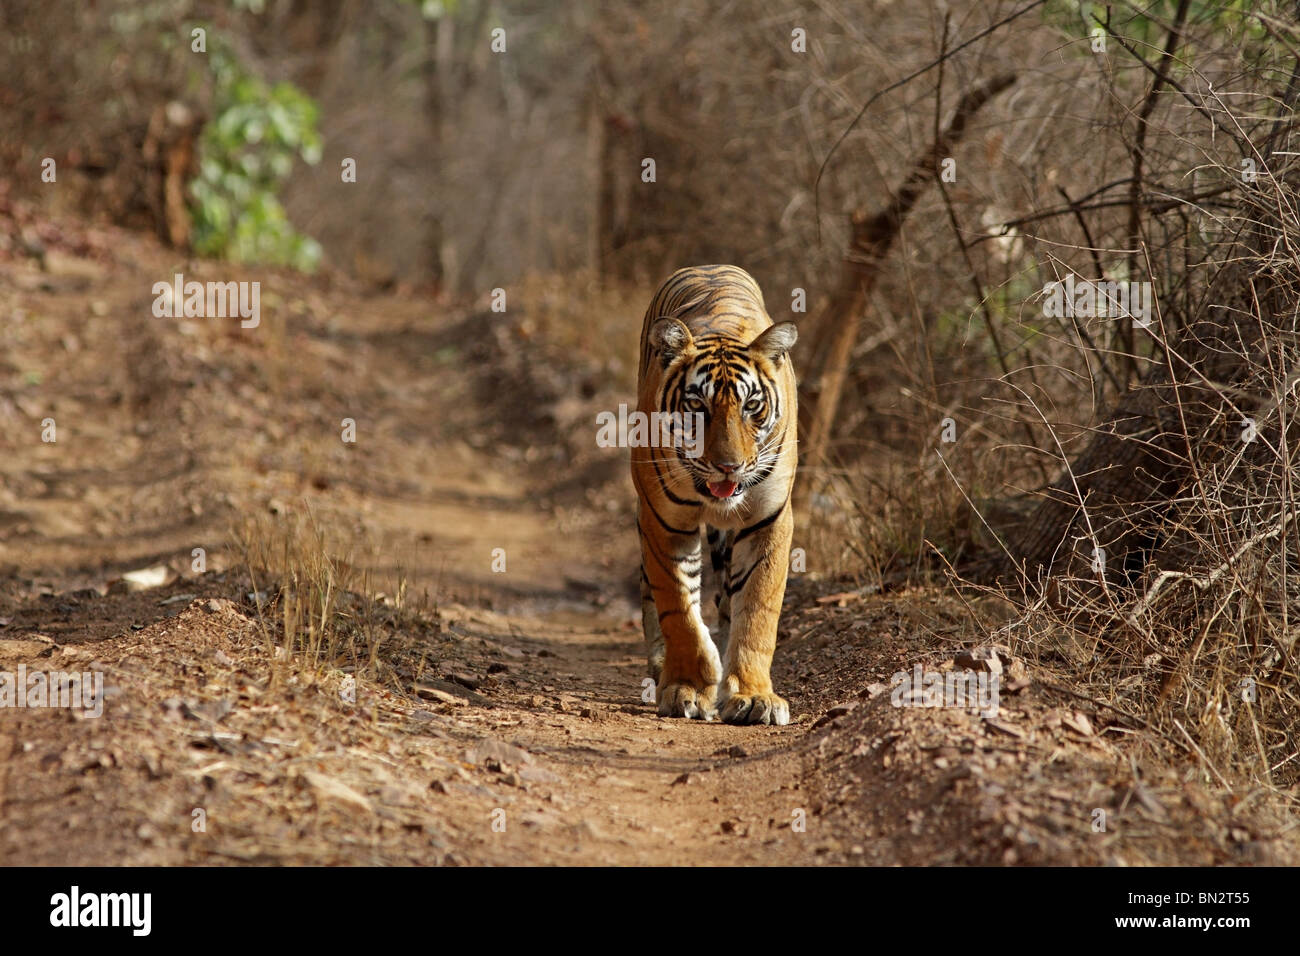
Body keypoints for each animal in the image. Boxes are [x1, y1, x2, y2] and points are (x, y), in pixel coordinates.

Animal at [631, 264, 798, 726]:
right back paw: (662, 668)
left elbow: (758, 609)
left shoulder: (769, 519)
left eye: (751, 407)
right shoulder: (664, 521)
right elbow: (679, 608)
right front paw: (687, 686)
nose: (729, 466)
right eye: (697, 407)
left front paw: (754, 695)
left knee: (727, 598)